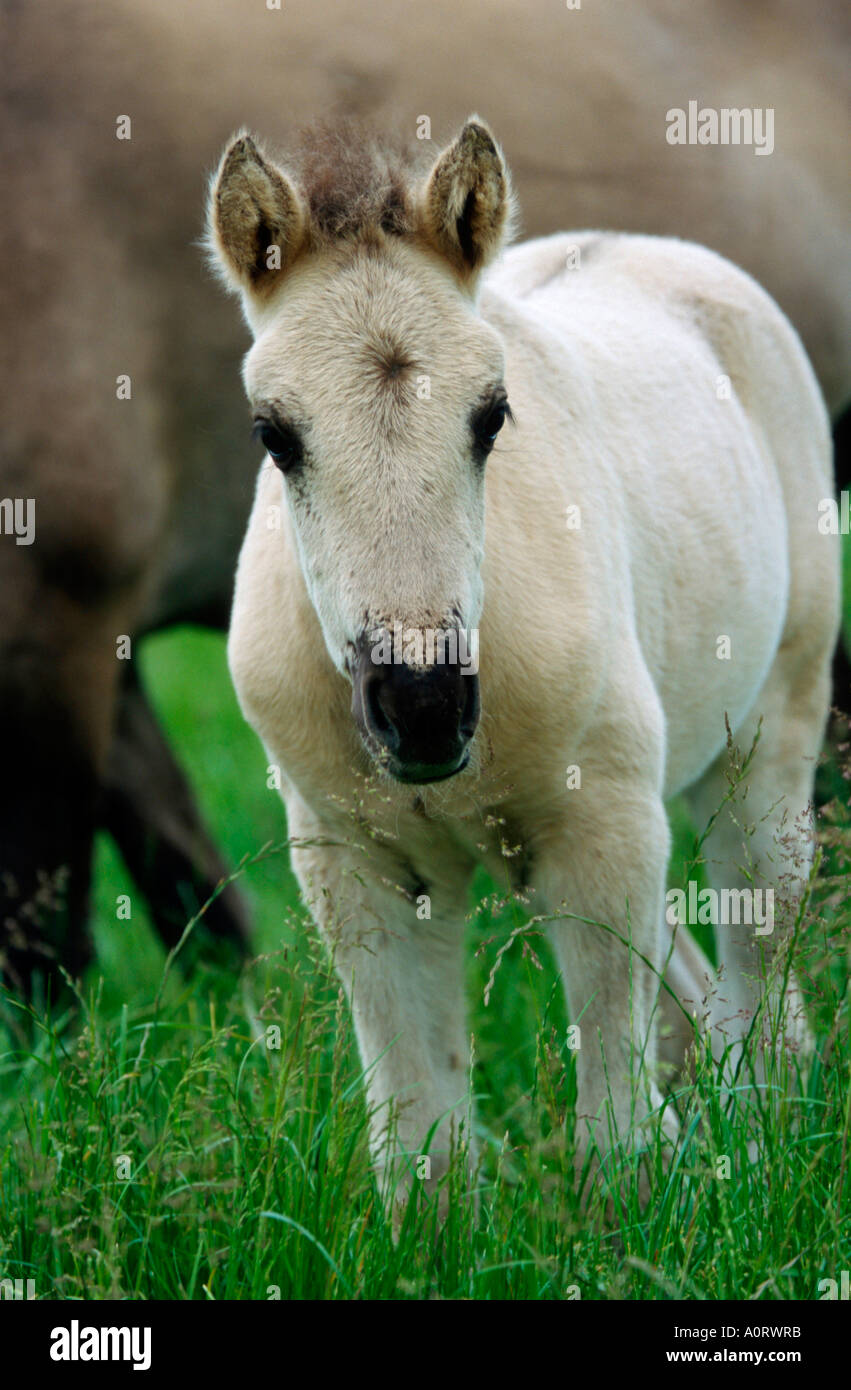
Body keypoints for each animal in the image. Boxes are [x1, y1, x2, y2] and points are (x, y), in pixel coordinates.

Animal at [207, 116, 841, 1206]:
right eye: (273, 434)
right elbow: (422, 1149)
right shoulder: (353, 865)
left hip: (766, 743)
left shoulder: (605, 830)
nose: (420, 707)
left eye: (491, 415)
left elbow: (616, 1137)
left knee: (760, 979)